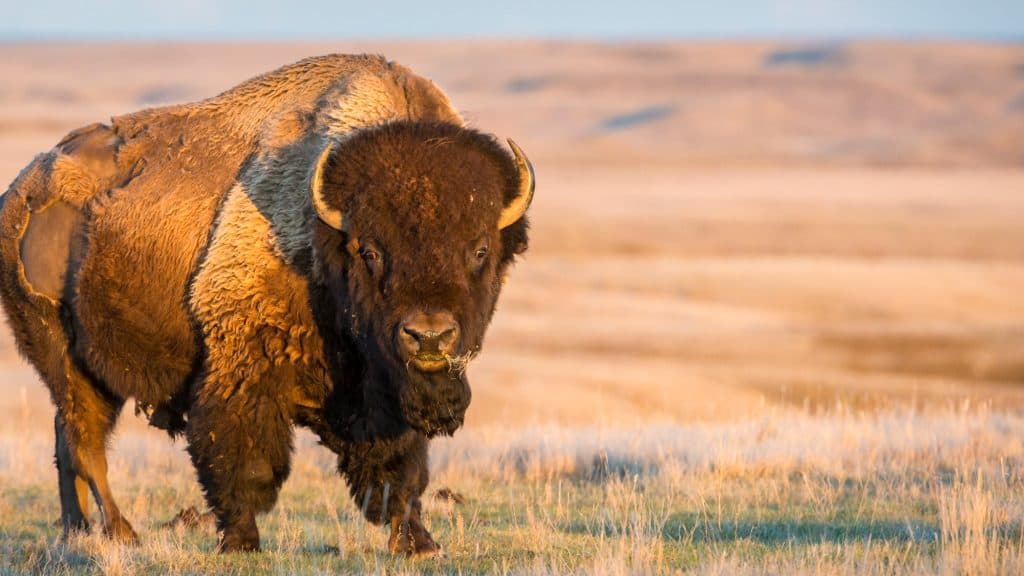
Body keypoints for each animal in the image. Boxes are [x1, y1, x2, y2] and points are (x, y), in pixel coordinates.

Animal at [0, 54, 533, 556]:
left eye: (480, 250)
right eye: (370, 251)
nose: (429, 335)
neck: (323, 238)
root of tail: (20, 190)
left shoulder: (387, 395)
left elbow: (400, 471)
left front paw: (419, 544)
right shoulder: (243, 368)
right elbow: (245, 461)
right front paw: (240, 541)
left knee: (67, 442)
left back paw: (76, 532)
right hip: (65, 359)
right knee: (85, 443)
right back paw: (122, 533)